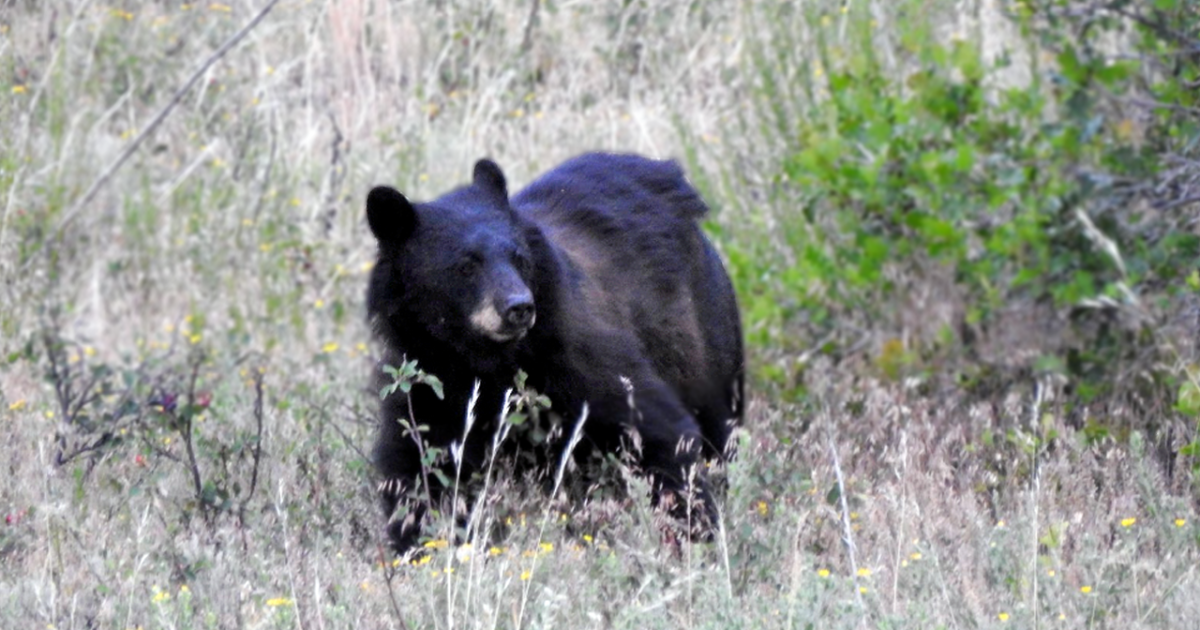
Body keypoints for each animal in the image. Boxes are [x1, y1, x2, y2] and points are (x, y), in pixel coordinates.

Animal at [366, 152, 743, 553]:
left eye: (518, 258)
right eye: (465, 266)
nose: (519, 307)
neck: (486, 360)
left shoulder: (573, 351)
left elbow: (655, 425)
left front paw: (696, 529)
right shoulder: (425, 375)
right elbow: (416, 465)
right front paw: (418, 544)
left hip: (707, 329)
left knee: (718, 416)